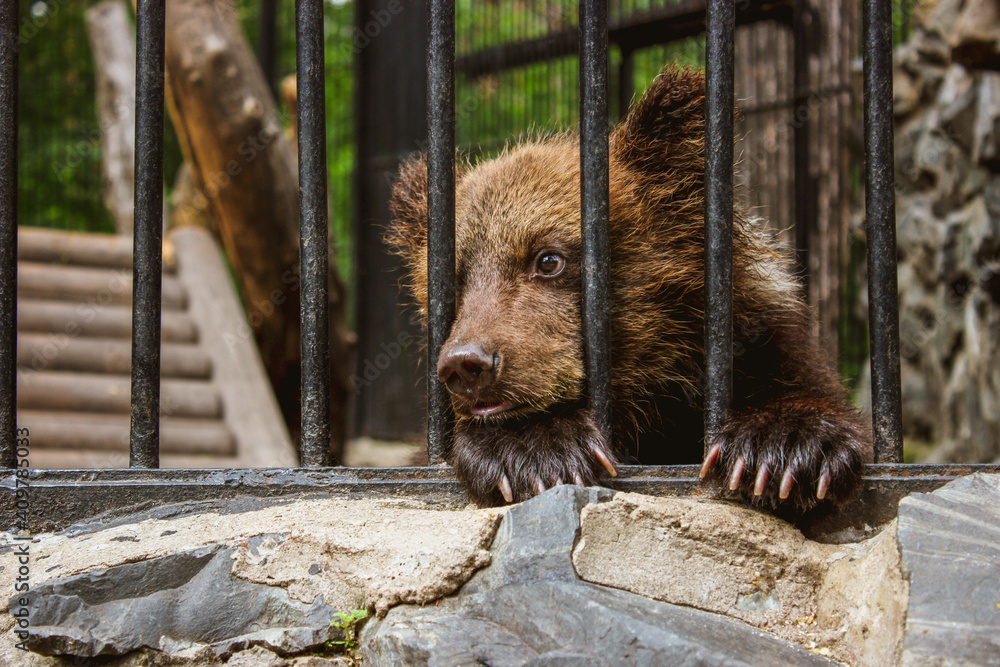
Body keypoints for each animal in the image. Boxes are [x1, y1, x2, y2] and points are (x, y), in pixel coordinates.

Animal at [387, 66, 871, 511]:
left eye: (548, 259)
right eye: (454, 280)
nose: (466, 364)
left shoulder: (763, 345)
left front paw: (784, 447)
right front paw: (530, 450)